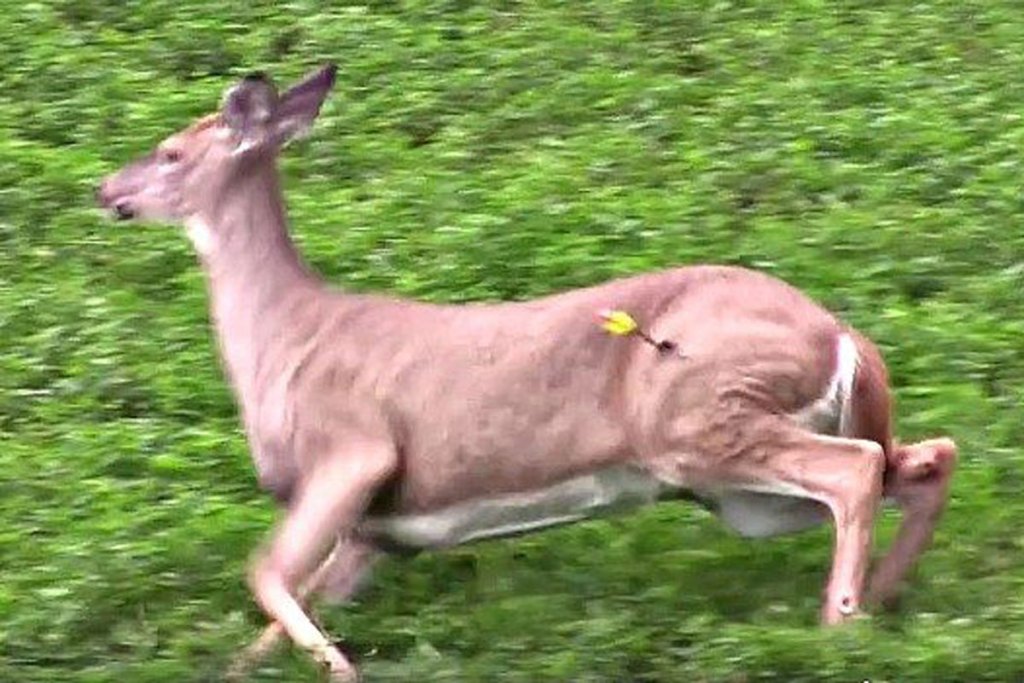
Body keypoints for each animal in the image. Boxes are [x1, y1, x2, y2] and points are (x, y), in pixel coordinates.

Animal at [96, 63, 957, 681]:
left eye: (171, 151)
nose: (105, 189)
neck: (285, 338)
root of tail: (842, 335)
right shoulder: (384, 530)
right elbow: (287, 602)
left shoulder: (354, 447)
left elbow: (266, 572)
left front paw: (341, 669)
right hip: (739, 487)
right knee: (921, 457)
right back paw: (881, 606)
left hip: (699, 418)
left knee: (858, 467)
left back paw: (837, 627)